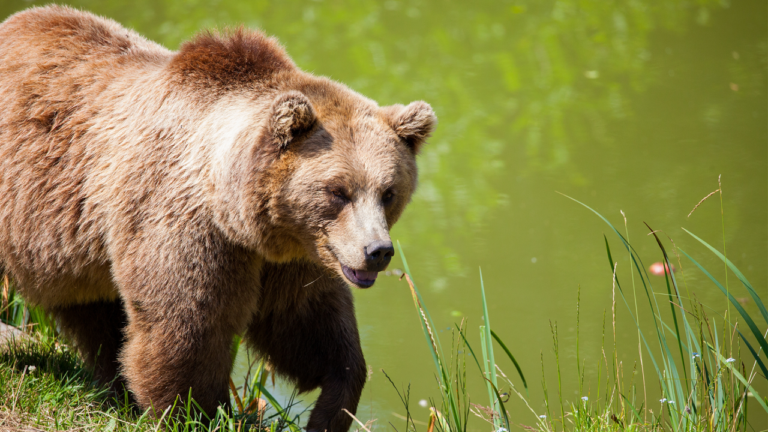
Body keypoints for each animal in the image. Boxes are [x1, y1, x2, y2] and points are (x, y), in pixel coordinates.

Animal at [0, 6, 436, 431]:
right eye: (337, 191)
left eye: (388, 192)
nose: (377, 251)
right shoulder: (185, 224)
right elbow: (188, 329)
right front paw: (198, 412)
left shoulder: (294, 255)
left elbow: (307, 325)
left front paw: (331, 407)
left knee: (93, 311)